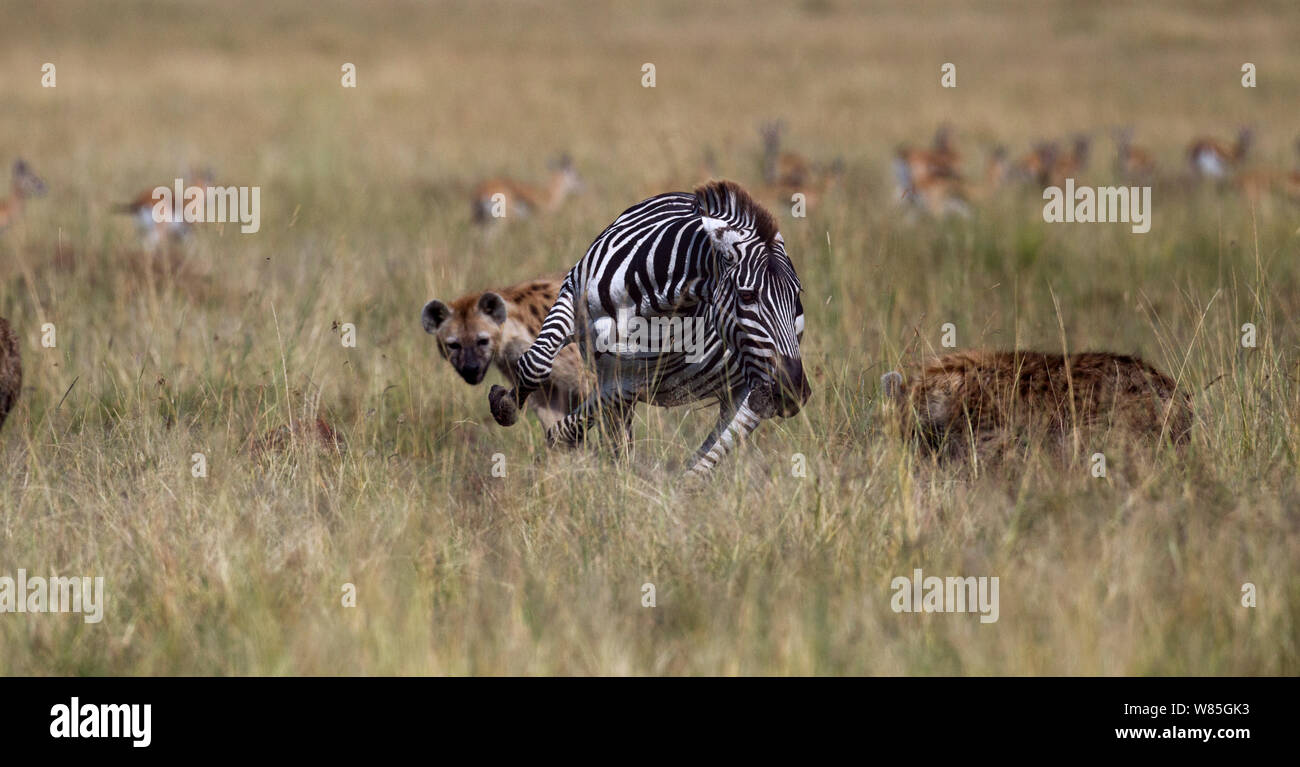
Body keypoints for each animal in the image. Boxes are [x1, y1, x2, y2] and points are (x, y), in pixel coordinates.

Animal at [487, 179, 810, 475]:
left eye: (797, 297)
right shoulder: (570, 293)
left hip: (748, 395)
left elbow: (571, 427)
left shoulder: (632, 381)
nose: (794, 392)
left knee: (697, 470)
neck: (641, 298)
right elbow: (535, 363)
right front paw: (505, 406)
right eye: (747, 296)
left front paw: (566, 447)